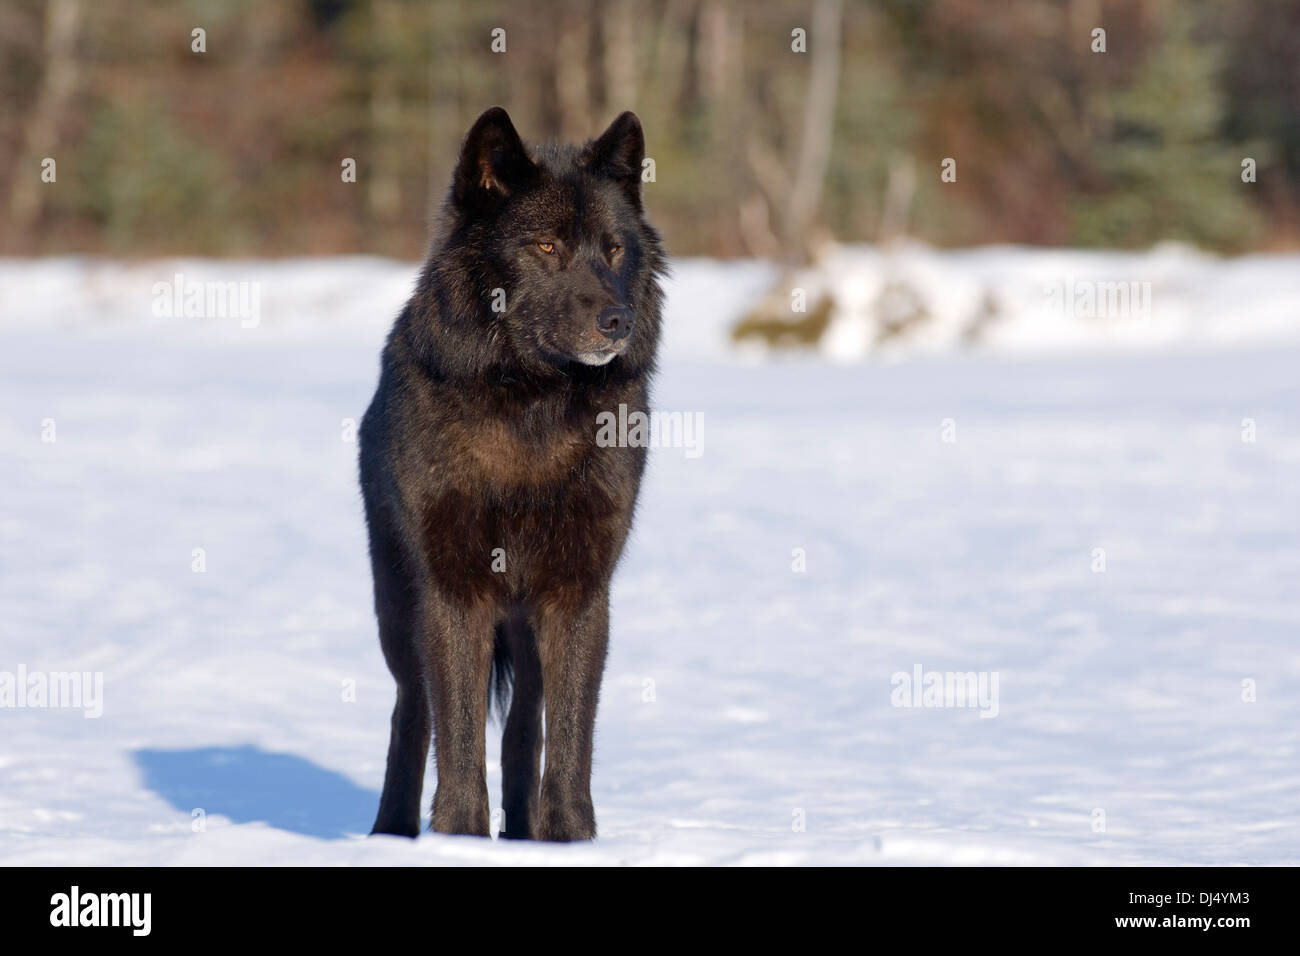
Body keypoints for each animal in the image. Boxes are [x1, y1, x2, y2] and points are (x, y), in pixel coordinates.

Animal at [359, 107, 665, 841]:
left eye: (614, 250)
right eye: (547, 247)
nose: (618, 321)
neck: (532, 406)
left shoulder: (577, 592)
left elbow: (571, 734)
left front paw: (569, 838)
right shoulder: (455, 589)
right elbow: (457, 730)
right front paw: (459, 837)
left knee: (526, 722)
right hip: (398, 611)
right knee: (412, 709)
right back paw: (390, 833)